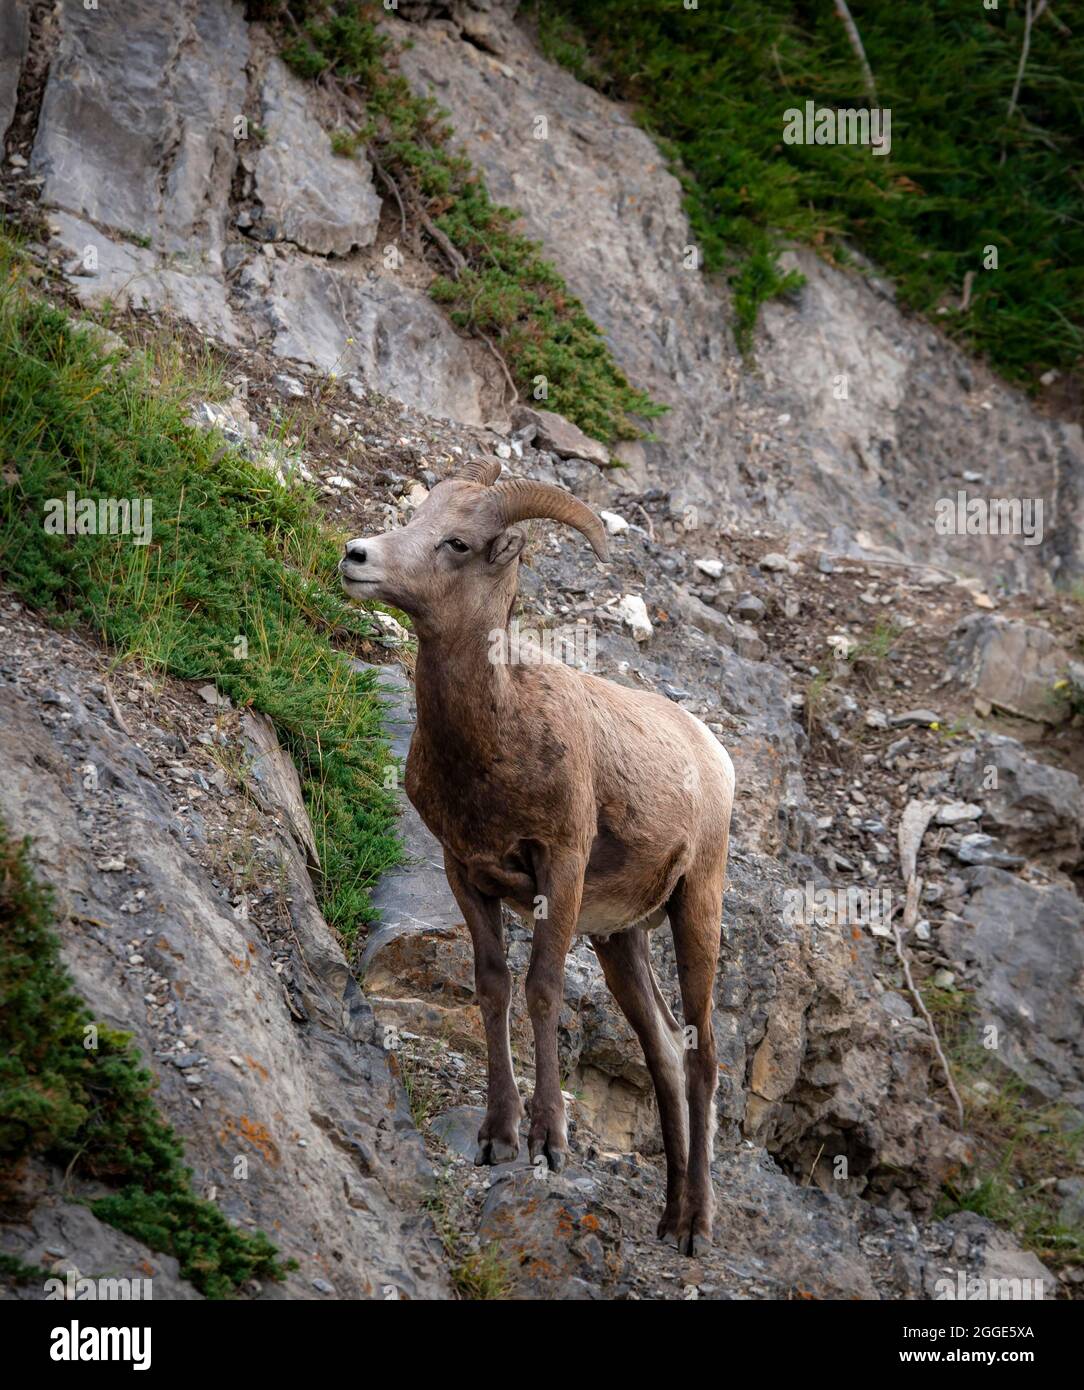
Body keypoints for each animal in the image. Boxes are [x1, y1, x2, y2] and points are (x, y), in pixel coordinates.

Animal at [340, 459, 734, 1254]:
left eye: (458, 542)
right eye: (417, 519)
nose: (356, 556)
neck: (496, 733)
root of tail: (716, 757)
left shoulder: (562, 868)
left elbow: (542, 988)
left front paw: (550, 1143)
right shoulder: (466, 873)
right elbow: (493, 986)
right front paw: (498, 1137)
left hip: (695, 907)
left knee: (702, 1057)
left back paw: (695, 1228)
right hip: (622, 939)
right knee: (663, 1053)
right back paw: (666, 1216)